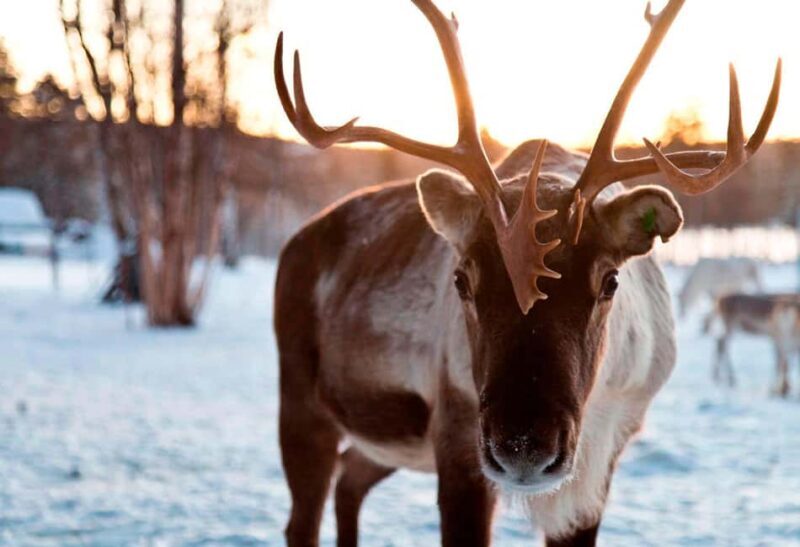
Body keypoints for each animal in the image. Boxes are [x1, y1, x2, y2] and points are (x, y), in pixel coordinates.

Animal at [272, 0, 781, 545]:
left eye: (610, 281)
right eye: (461, 279)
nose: (523, 448)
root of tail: (298, 240)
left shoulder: (599, 463)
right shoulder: (458, 436)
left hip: (387, 443)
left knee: (349, 480)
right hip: (303, 403)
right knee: (302, 518)